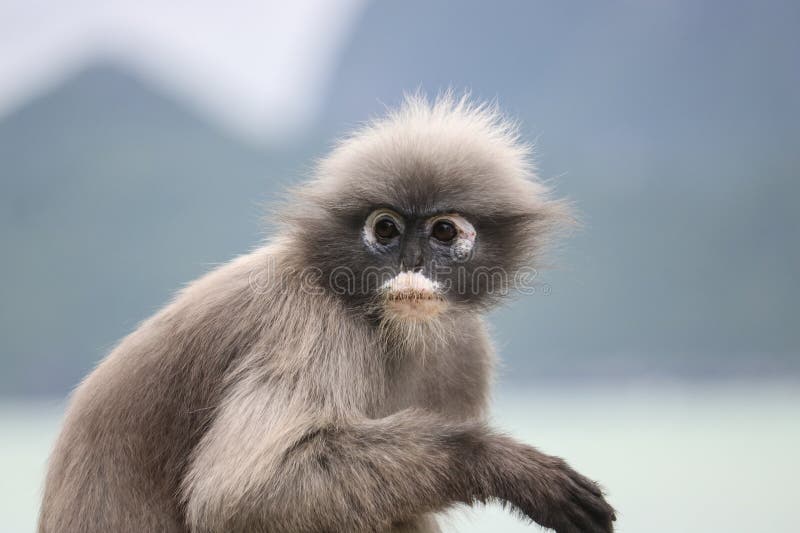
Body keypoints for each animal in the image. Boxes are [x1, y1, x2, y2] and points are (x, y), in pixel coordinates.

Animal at [39, 93, 615, 533]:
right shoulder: (305, 321)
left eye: (444, 231)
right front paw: (496, 461)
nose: (410, 262)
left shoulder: (465, 346)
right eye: (385, 228)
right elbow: (242, 494)